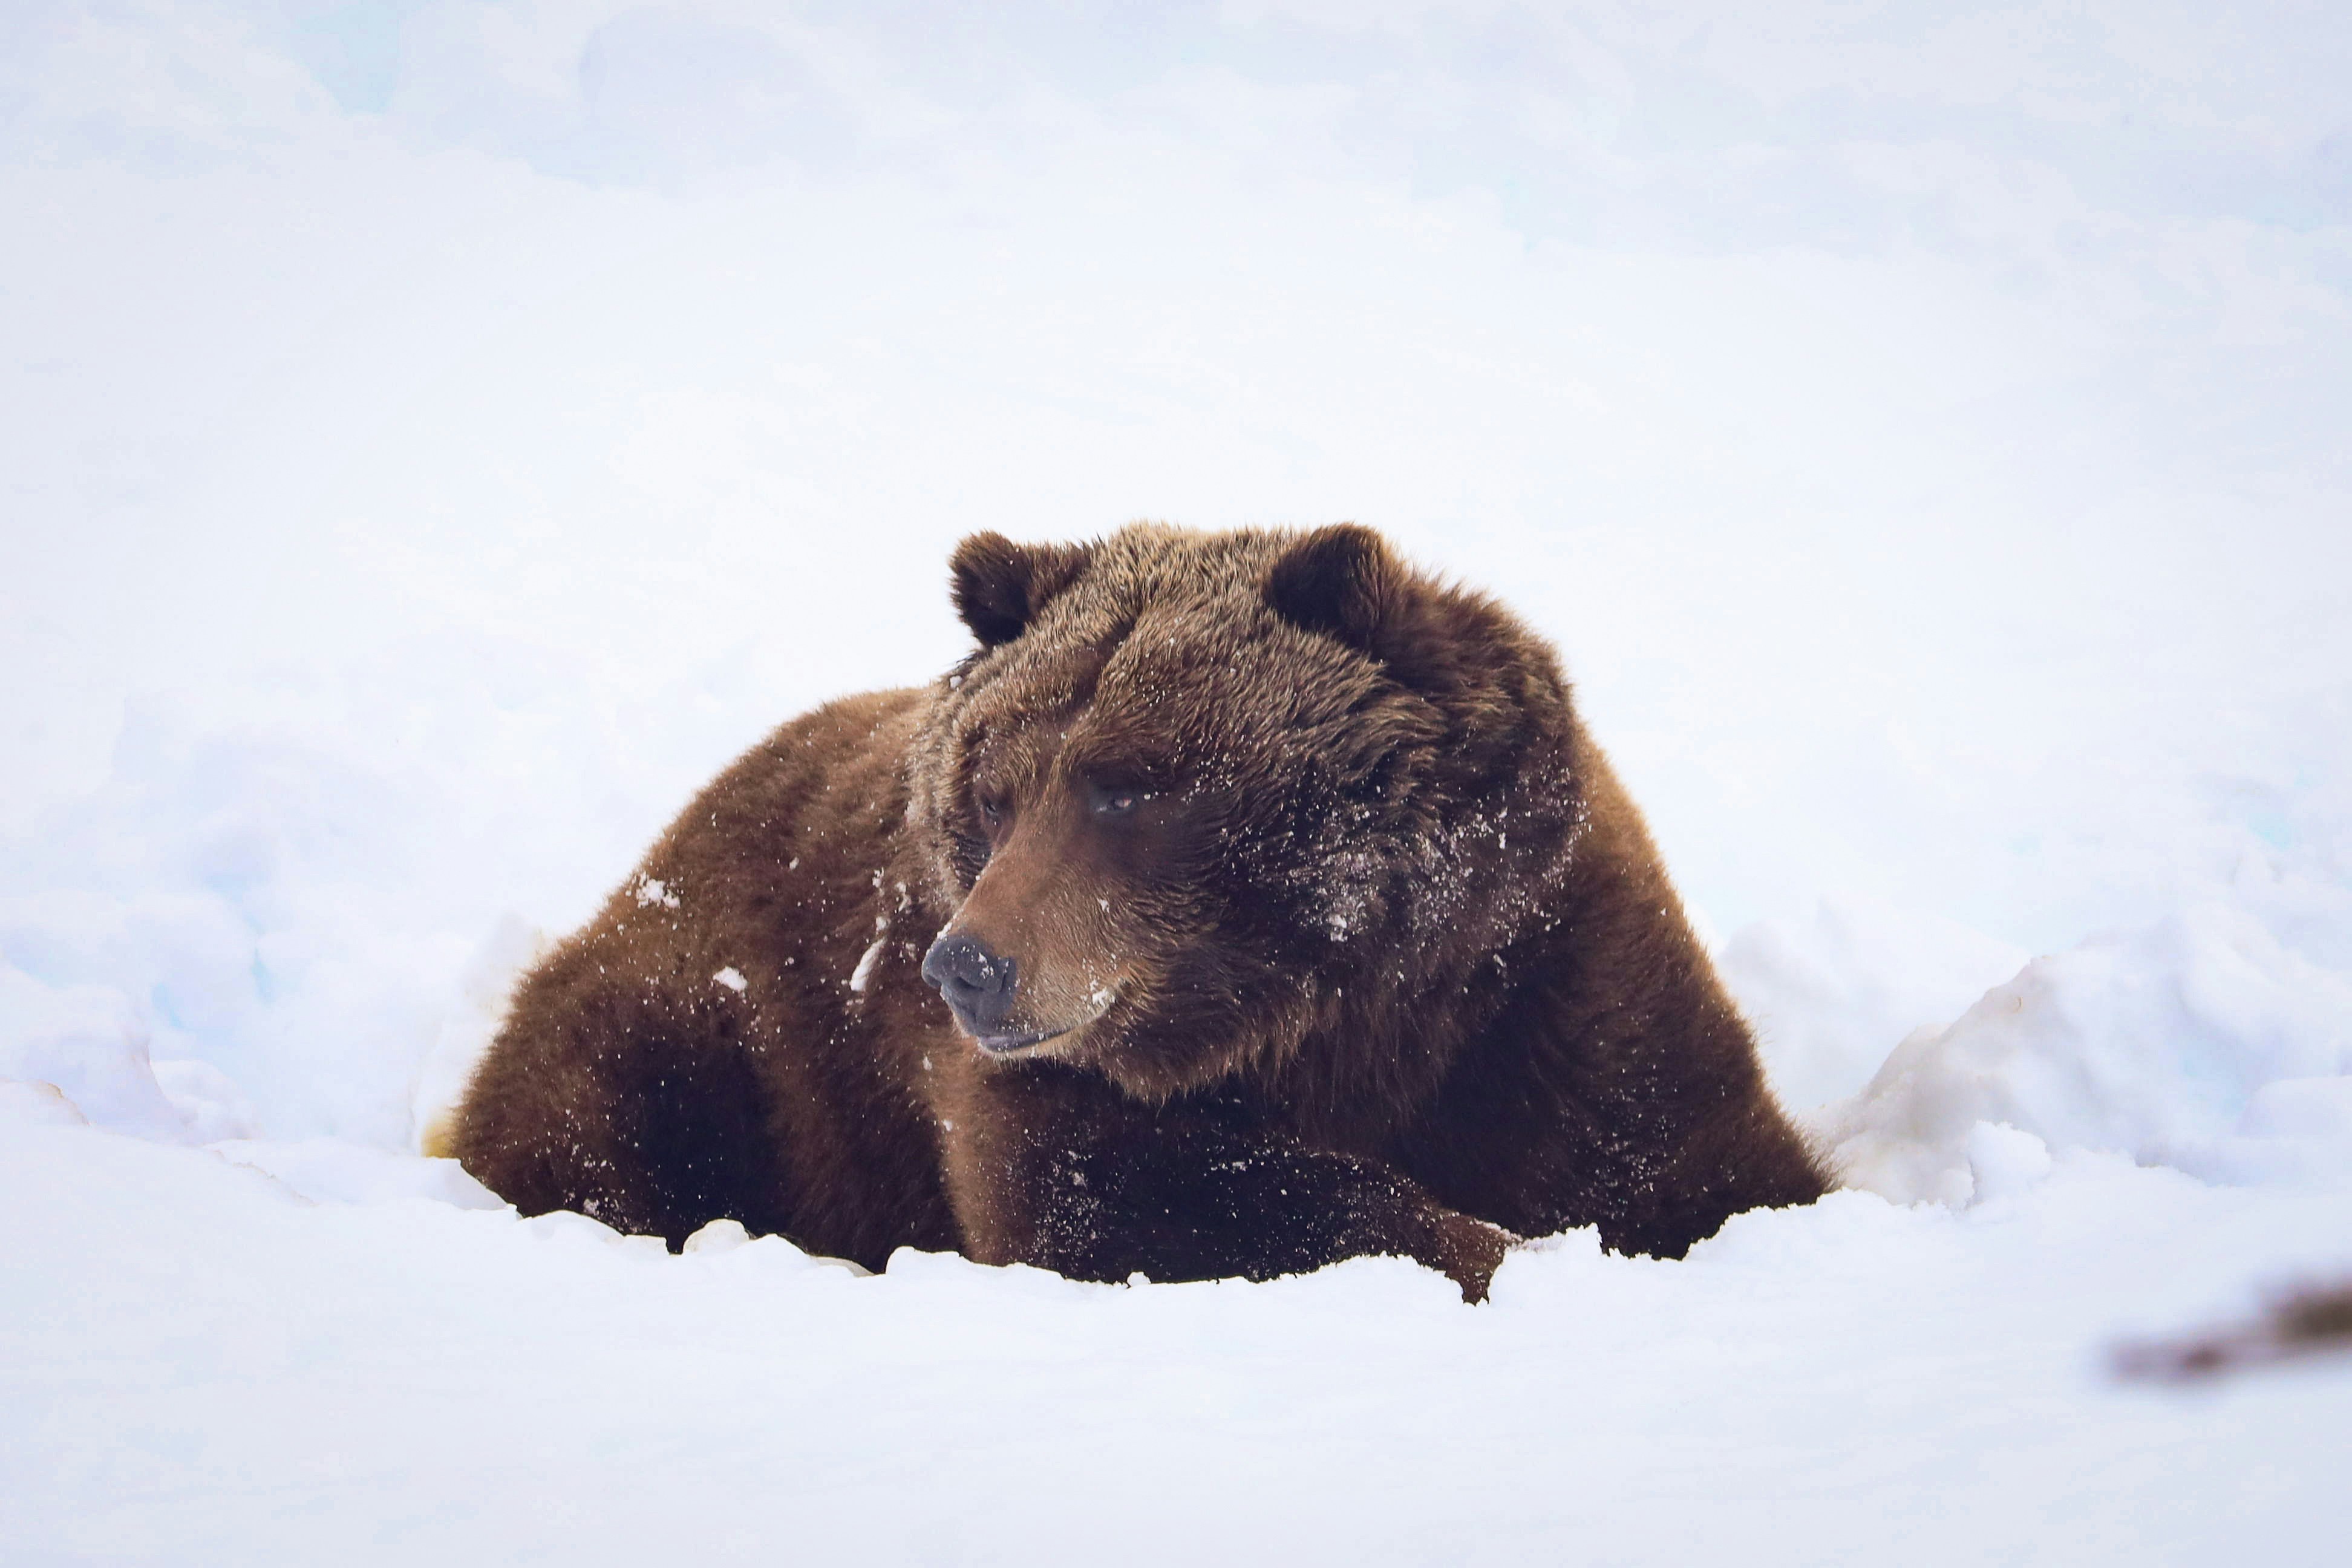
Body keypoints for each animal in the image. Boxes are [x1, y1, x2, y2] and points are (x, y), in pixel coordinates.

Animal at [446, 522, 1826, 1299]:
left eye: (1128, 785)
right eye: (994, 792)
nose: (967, 967)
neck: (1329, 1004)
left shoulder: (1540, 981)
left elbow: (1699, 1163)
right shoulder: (1022, 1071)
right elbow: (1123, 1189)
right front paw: (1490, 1247)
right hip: (724, 1025)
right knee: (607, 1115)